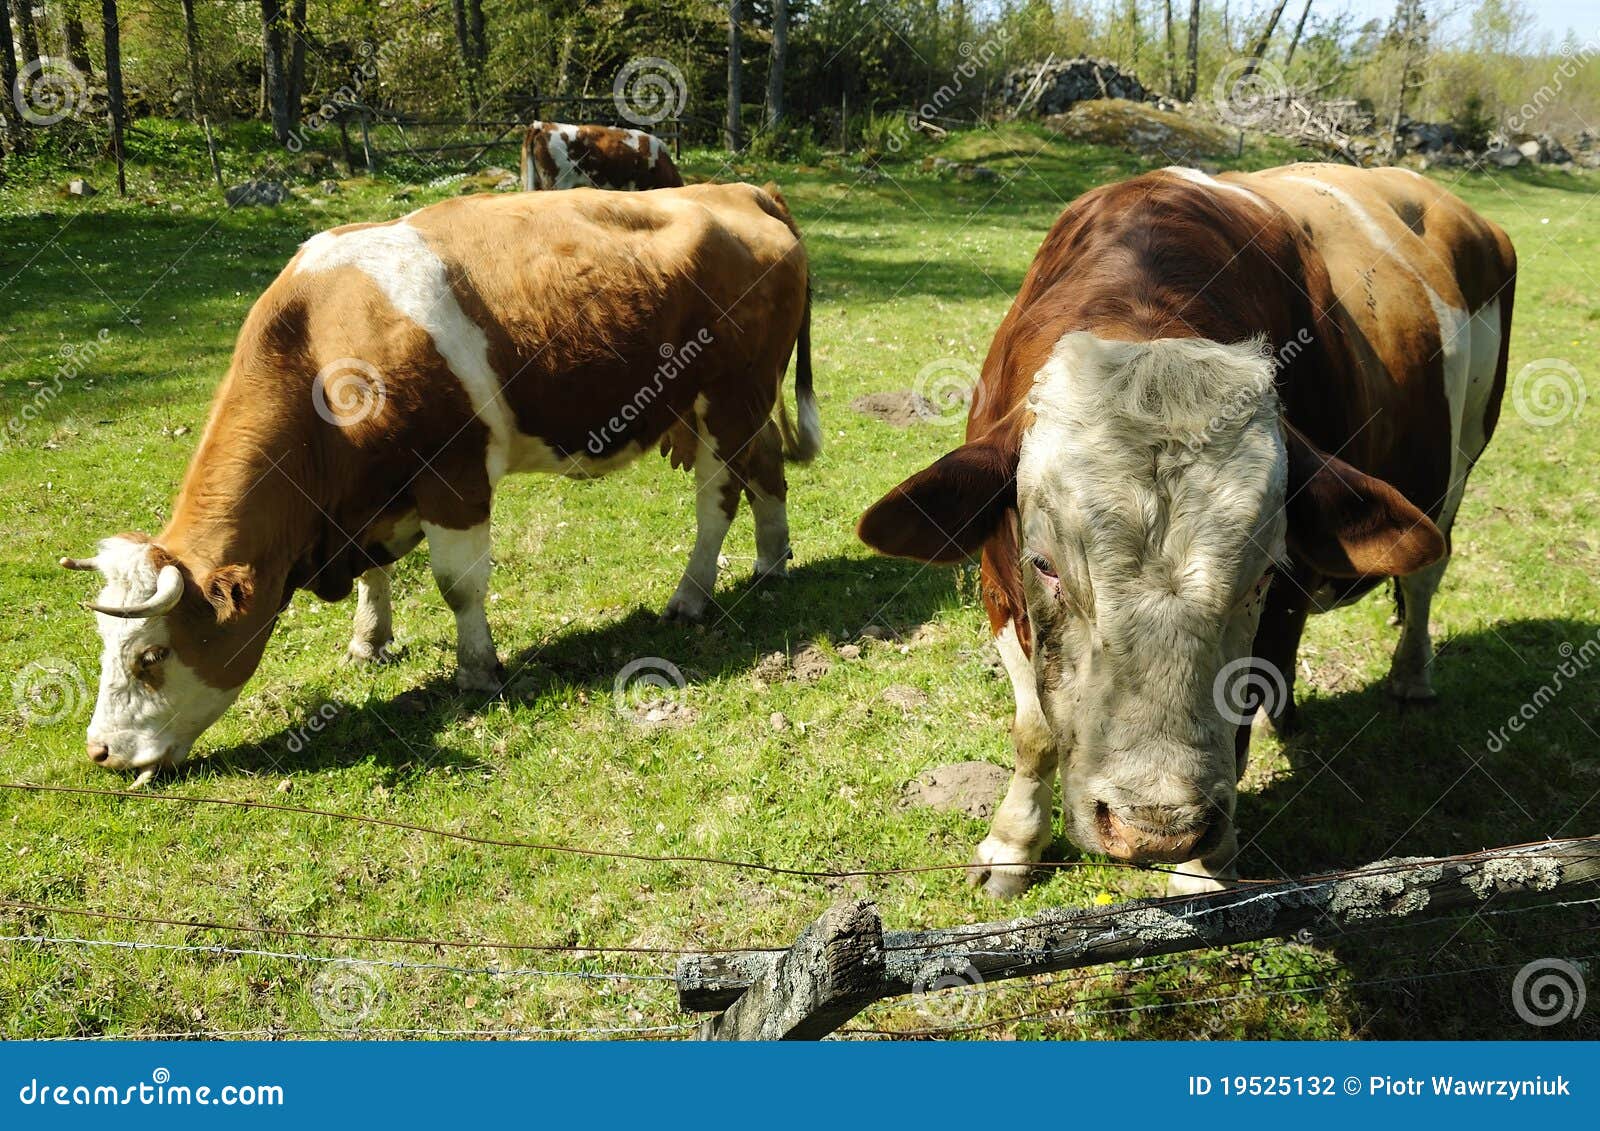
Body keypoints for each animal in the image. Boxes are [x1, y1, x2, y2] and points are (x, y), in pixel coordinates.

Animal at [61, 182, 819, 785]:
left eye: (152, 654)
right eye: (104, 646)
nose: (100, 751)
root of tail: (738, 188)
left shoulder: (453, 475)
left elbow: (460, 585)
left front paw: (477, 671)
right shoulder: (372, 495)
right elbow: (376, 576)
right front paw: (369, 641)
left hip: (727, 401)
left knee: (717, 501)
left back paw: (691, 595)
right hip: (736, 410)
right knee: (768, 472)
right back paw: (771, 562)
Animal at [857, 164, 1515, 897]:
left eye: (1263, 572)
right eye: (1047, 564)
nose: (1158, 827)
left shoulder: (1284, 599)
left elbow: (1236, 725)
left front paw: (1204, 876)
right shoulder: (999, 581)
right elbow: (1034, 730)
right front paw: (1012, 846)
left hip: (1461, 464)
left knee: (1425, 580)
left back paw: (1411, 676)